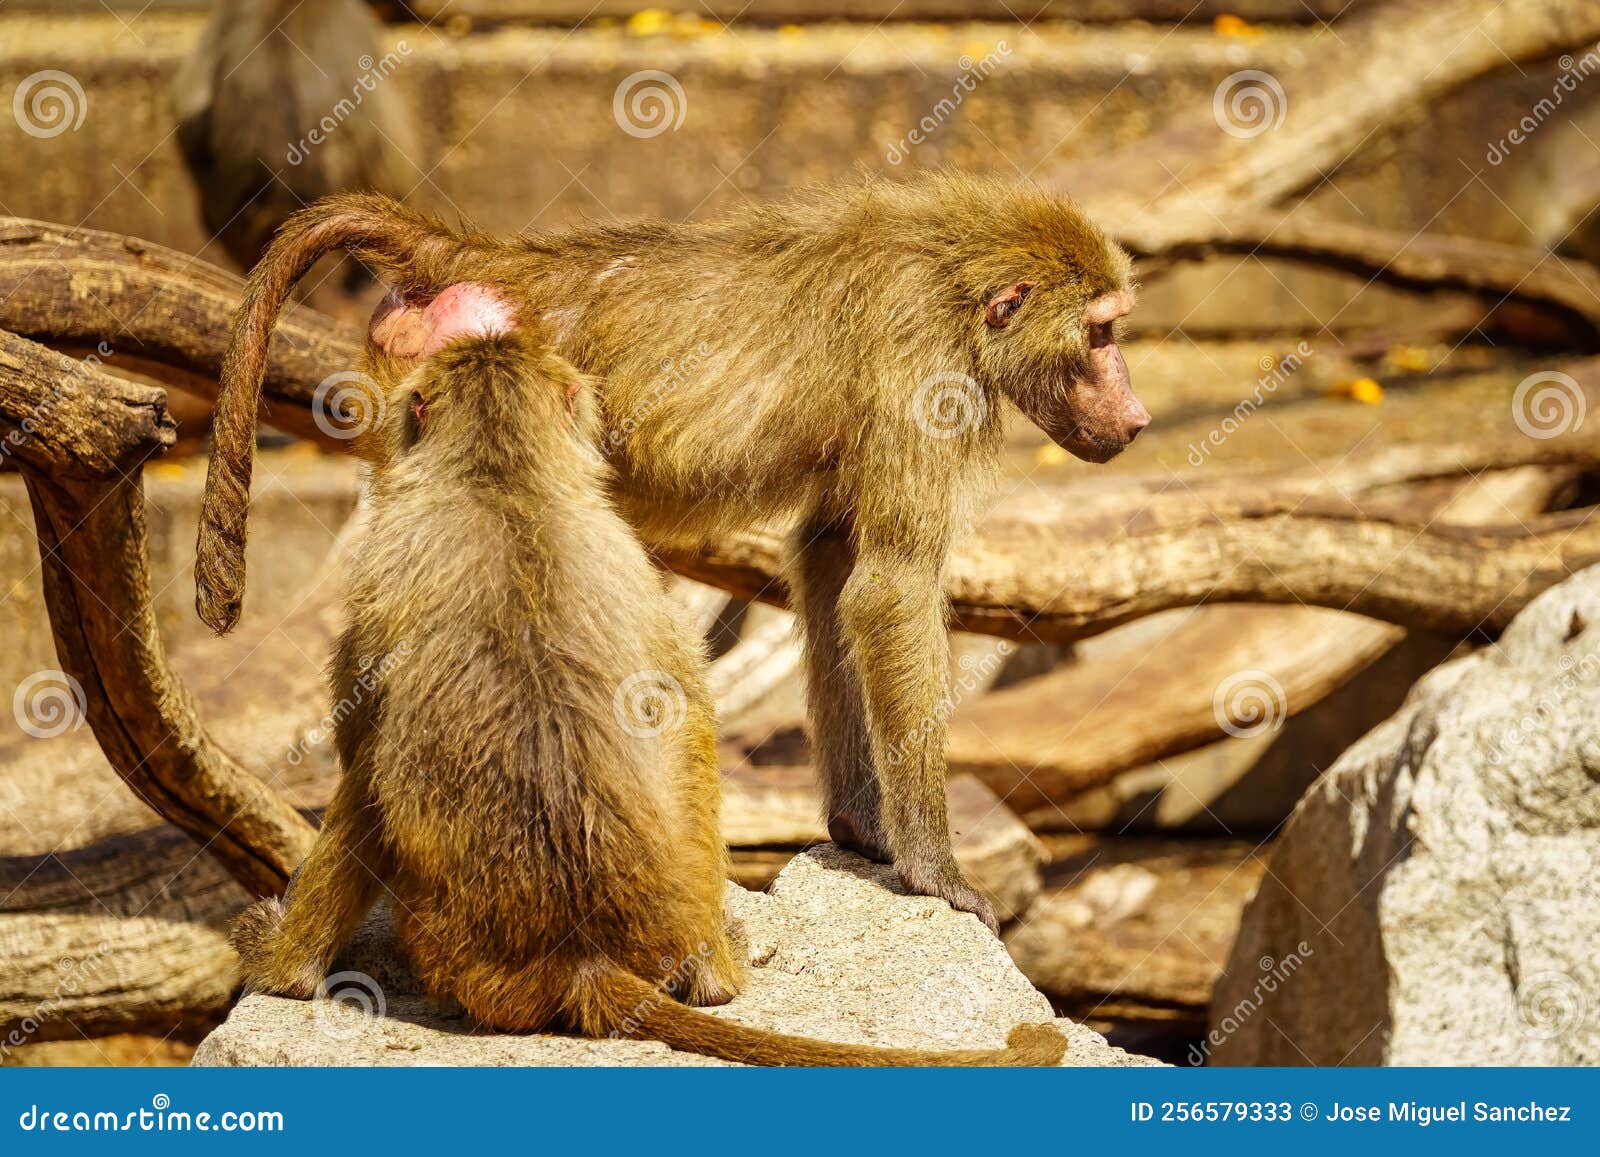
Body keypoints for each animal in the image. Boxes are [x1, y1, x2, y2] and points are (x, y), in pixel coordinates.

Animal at [196, 172, 1150, 935]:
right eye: (1101, 334)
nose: (1137, 419)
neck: (952, 277)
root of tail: (503, 260)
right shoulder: (927, 371)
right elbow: (892, 589)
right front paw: (935, 871)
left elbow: (832, 562)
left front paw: (861, 829)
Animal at [229, 294, 1069, 1066]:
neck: (501, 472)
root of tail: (583, 955)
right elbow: (685, 705)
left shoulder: (379, 579)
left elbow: (364, 762)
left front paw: (284, 967)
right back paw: (716, 967)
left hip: (446, 945)